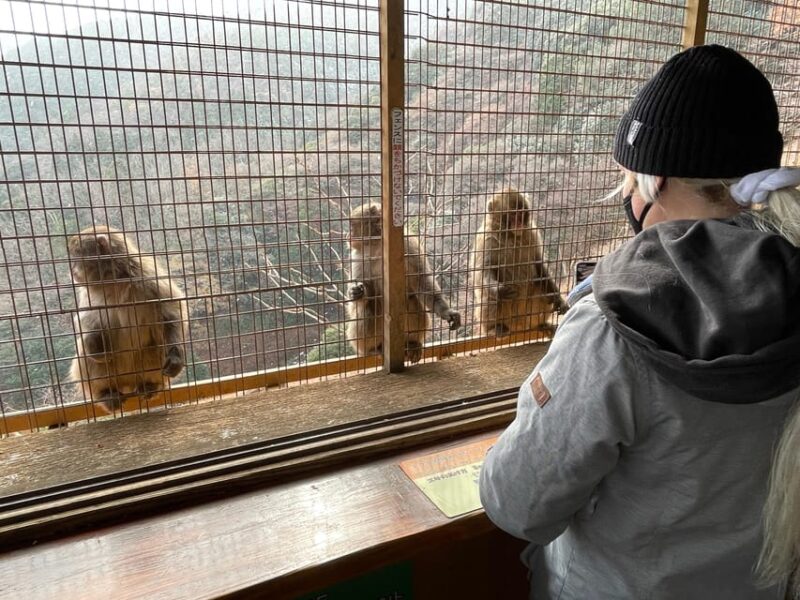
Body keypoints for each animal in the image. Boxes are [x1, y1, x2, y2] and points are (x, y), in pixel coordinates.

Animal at [68, 225, 188, 412]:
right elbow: (85, 319)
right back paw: (105, 394)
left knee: (153, 347)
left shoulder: (148, 278)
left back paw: (150, 386)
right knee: (85, 355)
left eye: (75, 258)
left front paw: (175, 355)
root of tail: (127, 383)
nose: (71, 270)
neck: (114, 280)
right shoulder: (87, 292)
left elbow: (170, 312)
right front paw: (92, 342)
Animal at [345, 203, 461, 363]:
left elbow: (422, 280)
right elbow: (358, 301)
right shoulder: (358, 257)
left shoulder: (409, 245)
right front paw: (356, 292)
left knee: (411, 301)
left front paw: (445, 311)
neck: (377, 244)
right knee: (369, 309)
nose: (347, 235)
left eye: (352, 225)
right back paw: (372, 349)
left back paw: (412, 343)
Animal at [470, 189, 565, 338]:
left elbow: (539, 265)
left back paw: (541, 324)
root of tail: (518, 327)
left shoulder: (532, 232)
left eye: (521, 214)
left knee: (539, 286)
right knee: (489, 297)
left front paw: (558, 298)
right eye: (513, 215)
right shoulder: (486, 238)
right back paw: (494, 328)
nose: (519, 223)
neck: (510, 235)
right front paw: (499, 290)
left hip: (529, 315)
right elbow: (484, 270)